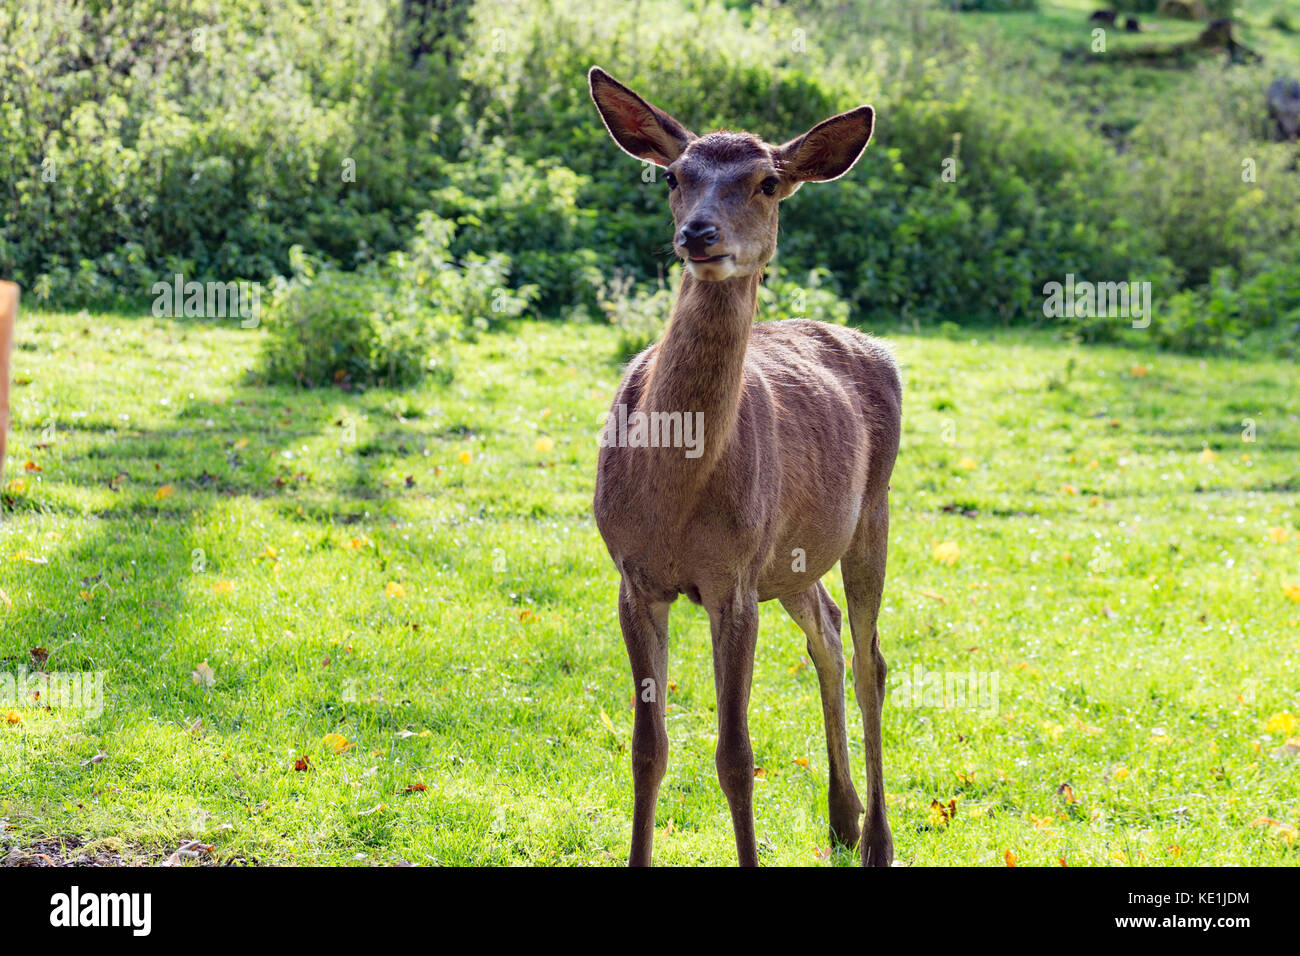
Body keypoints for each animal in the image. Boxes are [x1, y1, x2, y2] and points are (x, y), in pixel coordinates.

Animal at [588, 67, 902, 867]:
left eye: (766, 182)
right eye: (674, 174)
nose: (698, 232)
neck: (671, 488)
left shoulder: (731, 579)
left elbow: (735, 754)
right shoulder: (634, 575)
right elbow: (648, 748)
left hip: (872, 514)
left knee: (871, 659)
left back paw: (877, 837)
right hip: (789, 557)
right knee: (827, 631)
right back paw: (841, 817)